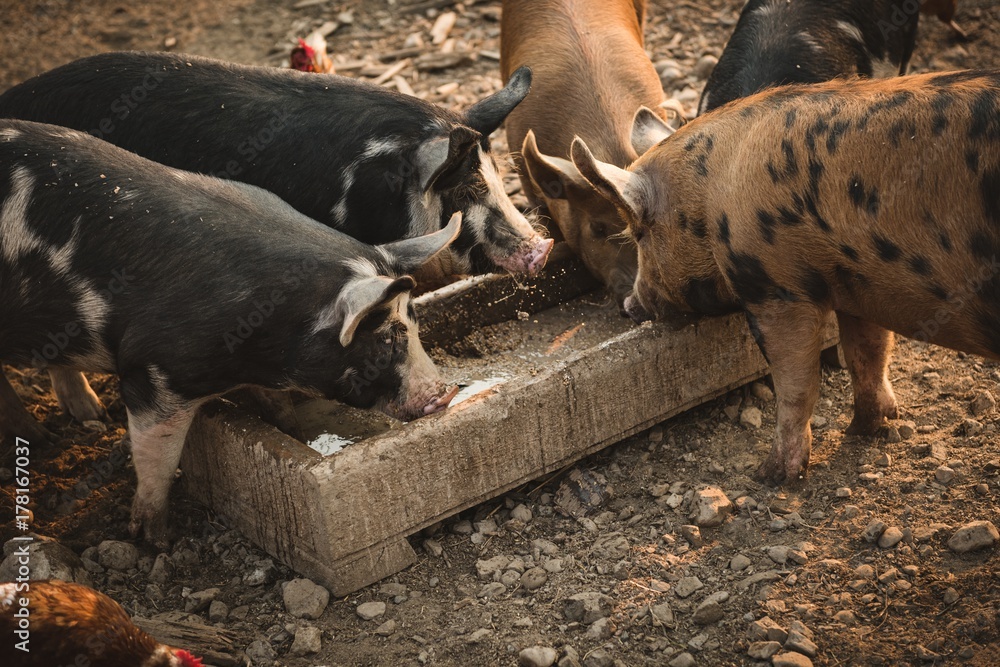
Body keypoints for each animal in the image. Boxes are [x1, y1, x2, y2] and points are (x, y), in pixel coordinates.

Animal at [0, 118, 463, 546]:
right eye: (386, 336)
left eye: (414, 324)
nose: (445, 394)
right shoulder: (154, 374)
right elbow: (159, 458)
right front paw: (156, 540)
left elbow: (278, 410)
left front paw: (294, 433)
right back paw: (40, 440)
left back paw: (84, 417)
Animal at [572, 69, 1000, 485]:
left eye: (638, 233)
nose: (630, 305)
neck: (709, 204)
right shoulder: (858, 285)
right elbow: (868, 354)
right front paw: (866, 429)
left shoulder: (776, 290)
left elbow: (797, 385)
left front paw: (769, 477)